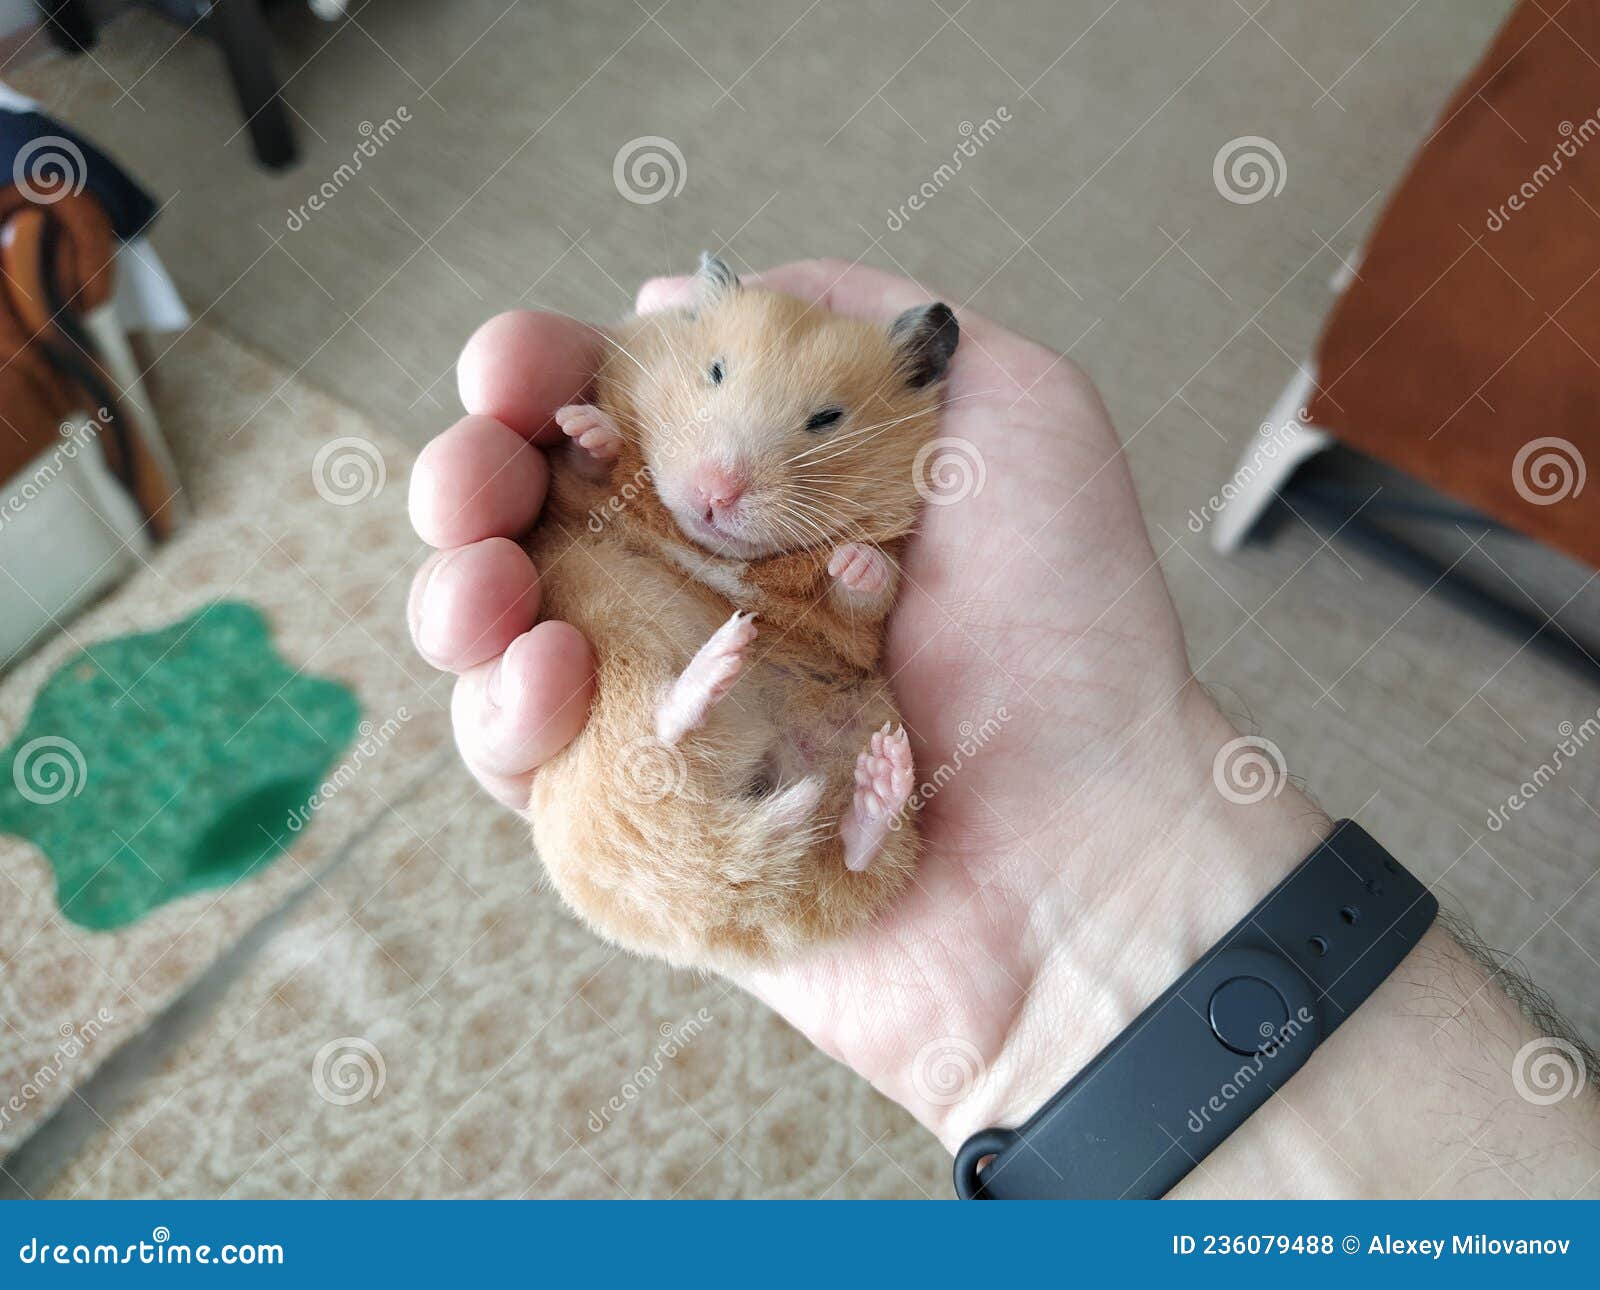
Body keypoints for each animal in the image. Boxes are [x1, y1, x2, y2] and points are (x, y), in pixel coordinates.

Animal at [523, 253, 959, 970]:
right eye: (716, 371)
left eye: (828, 418)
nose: (716, 494)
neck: (720, 553)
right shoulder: (569, 500)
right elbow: (588, 464)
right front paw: (583, 426)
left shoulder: (858, 632)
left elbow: (866, 591)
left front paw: (854, 562)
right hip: (614, 694)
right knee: (660, 733)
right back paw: (722, 666)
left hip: (854, 729)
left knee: (846, 853)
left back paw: (876, 782)